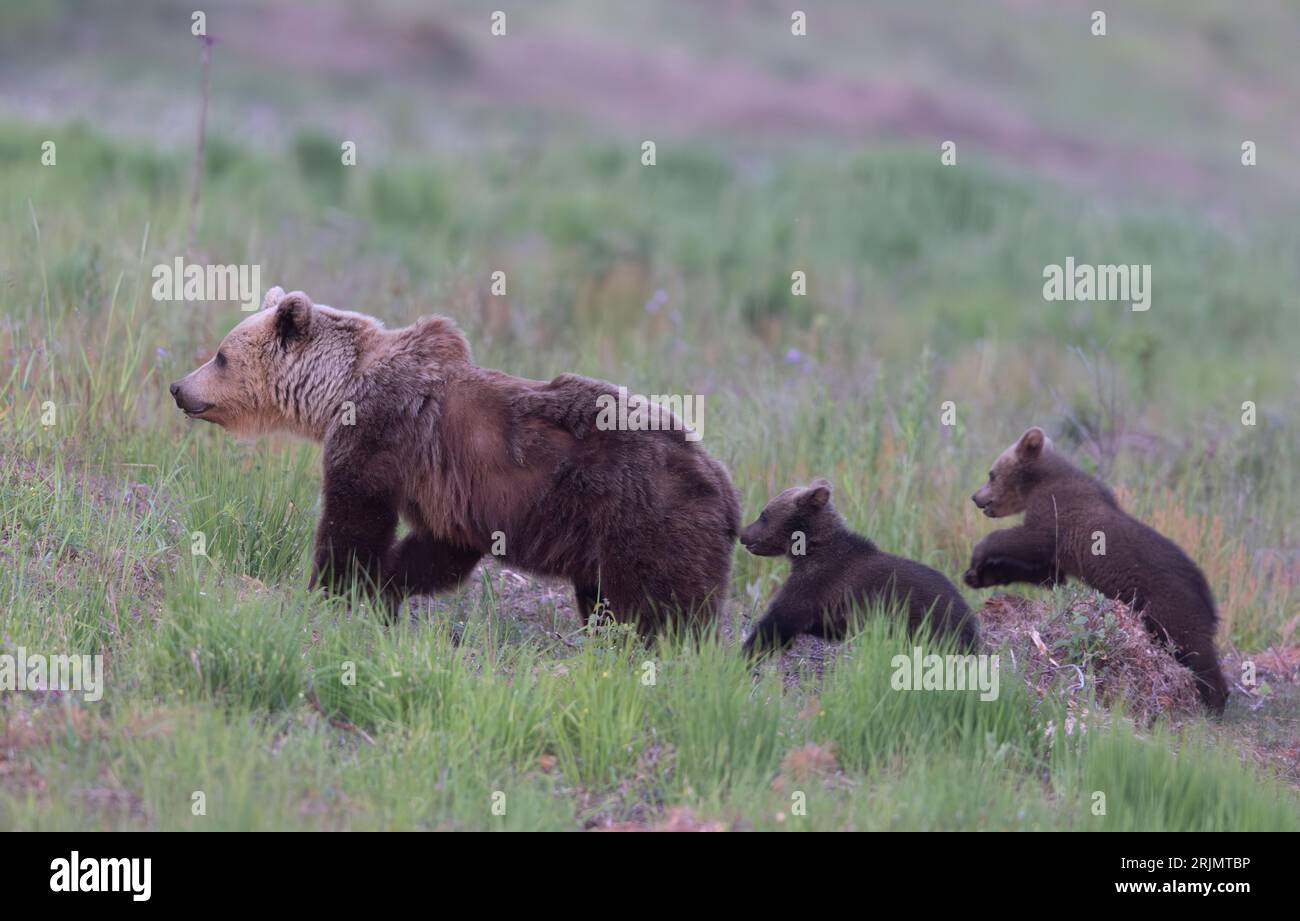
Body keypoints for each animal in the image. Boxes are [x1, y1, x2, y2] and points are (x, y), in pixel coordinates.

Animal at [170, 287, 741, 636]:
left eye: (221, 355)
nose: (178, 386)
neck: (337, 392)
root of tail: (726, 487)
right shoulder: (456, 493)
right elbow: (438, 549)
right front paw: (384, 589)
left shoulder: (379, 434)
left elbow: (352, 518)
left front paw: (329, 591)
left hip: (646, 522)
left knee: (662, 610)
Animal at [740, 478, 979, 655]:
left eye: (763, 514)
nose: (742, 533)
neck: (809, 550)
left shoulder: (817, 583)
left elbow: (780, 620)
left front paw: (747, 652)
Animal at [963, 426, 1228, 714]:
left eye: (991, 474)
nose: (975, 496)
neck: (1039, 483)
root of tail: (1209, 598)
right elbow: (1046, 573)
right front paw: (979, 575)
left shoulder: (1056, 513)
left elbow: (1027, 539)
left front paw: (979, 554)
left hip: (1172, 606)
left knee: (1195, 651)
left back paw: (1214, 702)